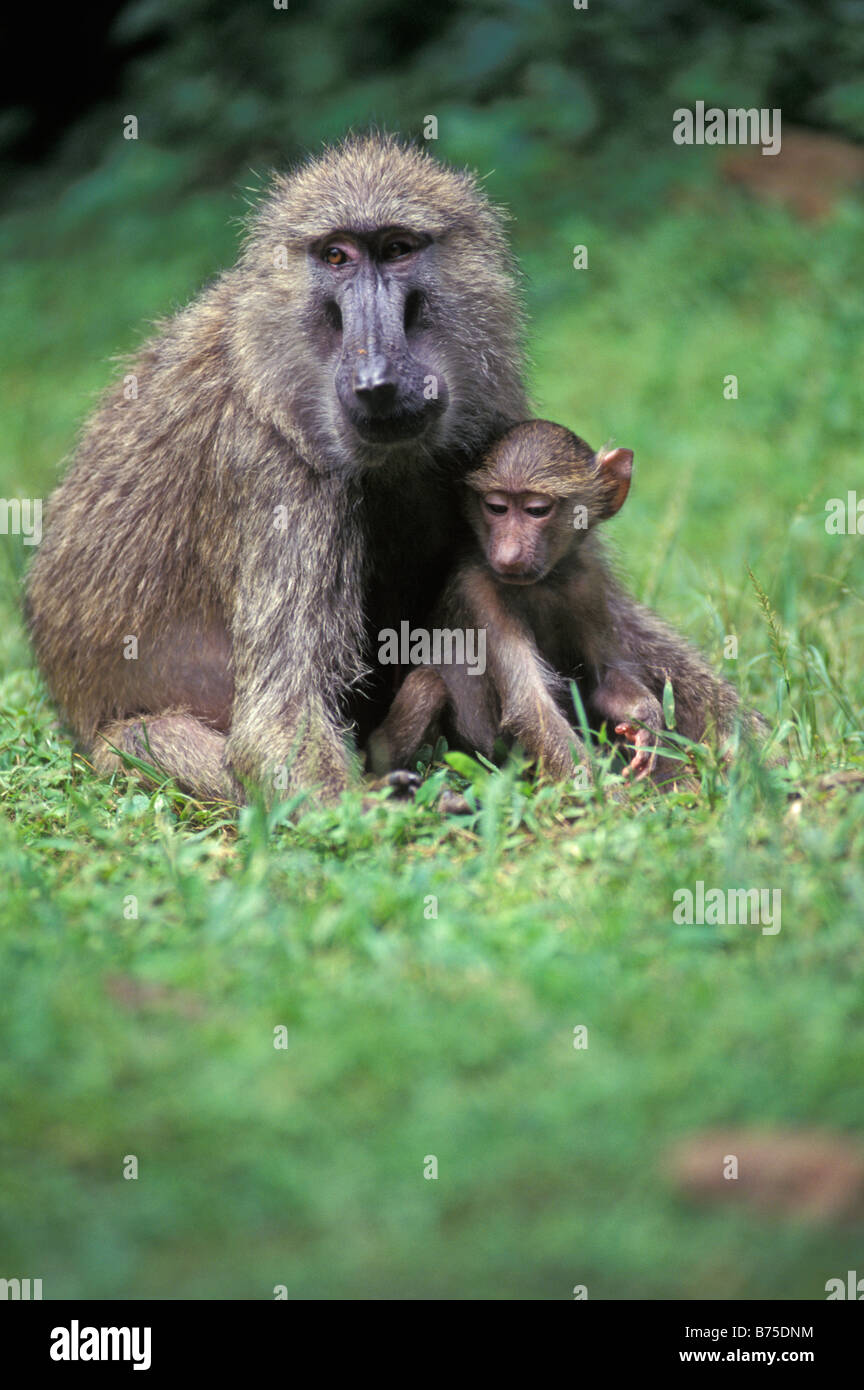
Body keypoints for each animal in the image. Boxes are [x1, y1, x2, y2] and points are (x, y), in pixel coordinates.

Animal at [25, 134, 528, 803]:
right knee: (148, 743)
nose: (377, 380)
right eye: (336, 257)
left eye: (397, 250)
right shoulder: (277, 469)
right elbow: (275, 722)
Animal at [368, 420, 771, 785]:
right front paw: (603, 801)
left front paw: (645, 721)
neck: (545, 581)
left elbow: (603, 679)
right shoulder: (480, 591)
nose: (508, 556)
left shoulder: (588, 583)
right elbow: (530, 707)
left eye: (536, 510)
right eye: (496, 507)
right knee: (427, 686)